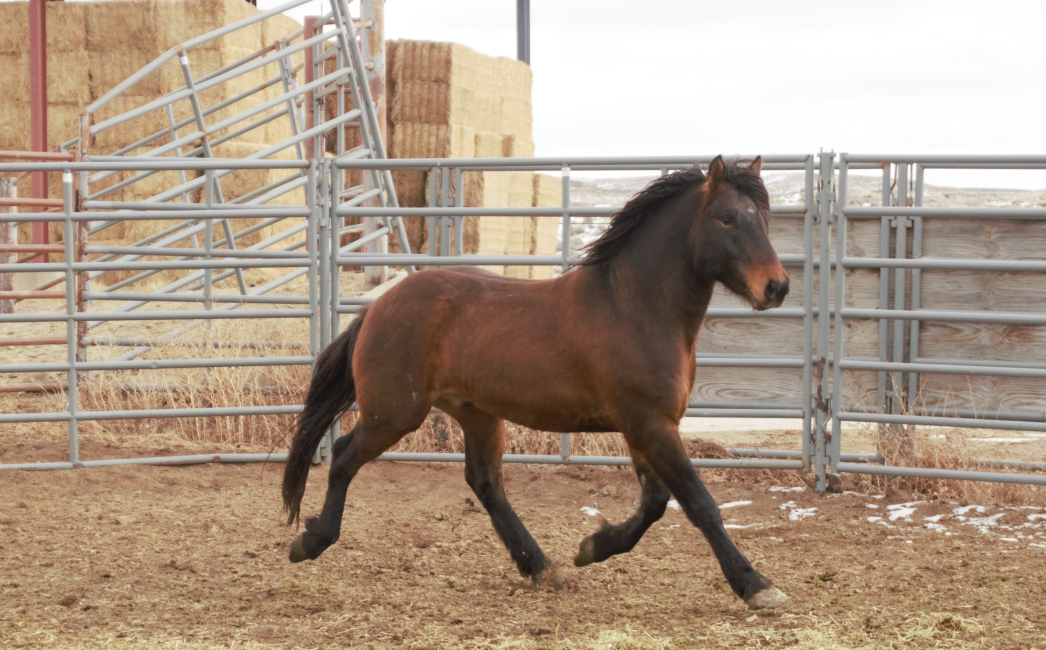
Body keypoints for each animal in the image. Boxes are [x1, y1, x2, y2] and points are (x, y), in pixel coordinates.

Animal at [281, 155, 791, 610]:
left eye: (763, 219)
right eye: (727, 218)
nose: (777, 287)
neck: (634, 307)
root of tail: (374, 309)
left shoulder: (645, 426)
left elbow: (655, 503)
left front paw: (591, 548)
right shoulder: (649, 424)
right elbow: (698, 503)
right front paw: (756, 586)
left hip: (476, 414)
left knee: (485, 483)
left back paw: (541, 567)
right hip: (395, 413)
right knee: (344, 454)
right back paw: (310, 541)